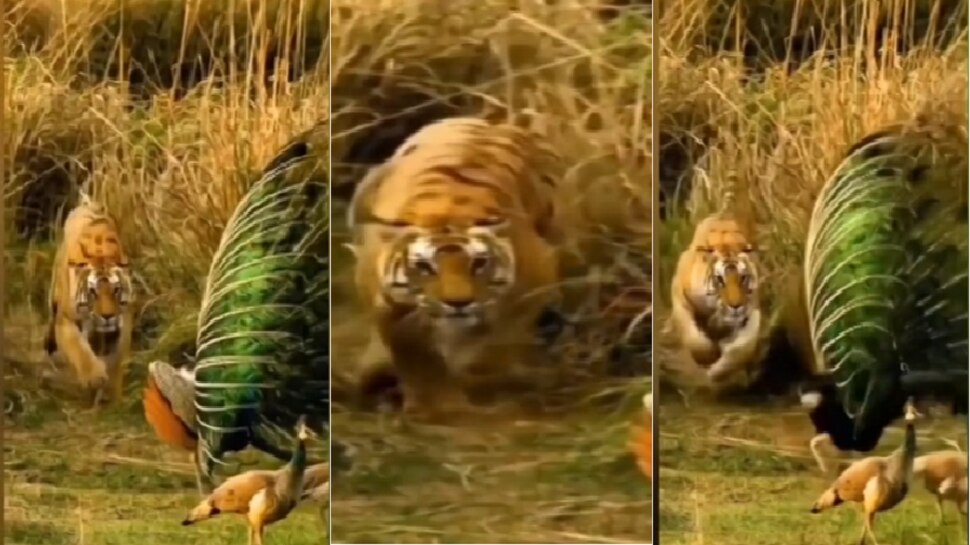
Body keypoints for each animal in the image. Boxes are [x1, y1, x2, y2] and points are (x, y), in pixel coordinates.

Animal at [44, 192, 134, 407]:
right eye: (93, 292)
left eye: (116, 290)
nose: (108, 316)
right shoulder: (65, 320)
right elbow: (80, 350)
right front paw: (95, 377)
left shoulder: (124, 320)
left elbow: (117, 360)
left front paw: (113, 395)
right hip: (55, 297)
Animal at [347, 116, 563, 419]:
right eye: (424, 266)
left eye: (479, 263)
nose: (458, 303)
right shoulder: (392, 305)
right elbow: (416, 351)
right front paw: (436, 407)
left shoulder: (535, 281)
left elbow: (499, 343)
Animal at [667, 215, 766, 390]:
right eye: (720, 280)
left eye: (743, 278)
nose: (736, 305)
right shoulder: (680, 297)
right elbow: (694, 338)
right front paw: (709, 357)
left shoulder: (752, 310)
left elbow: (743, 348)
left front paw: (716, 373)